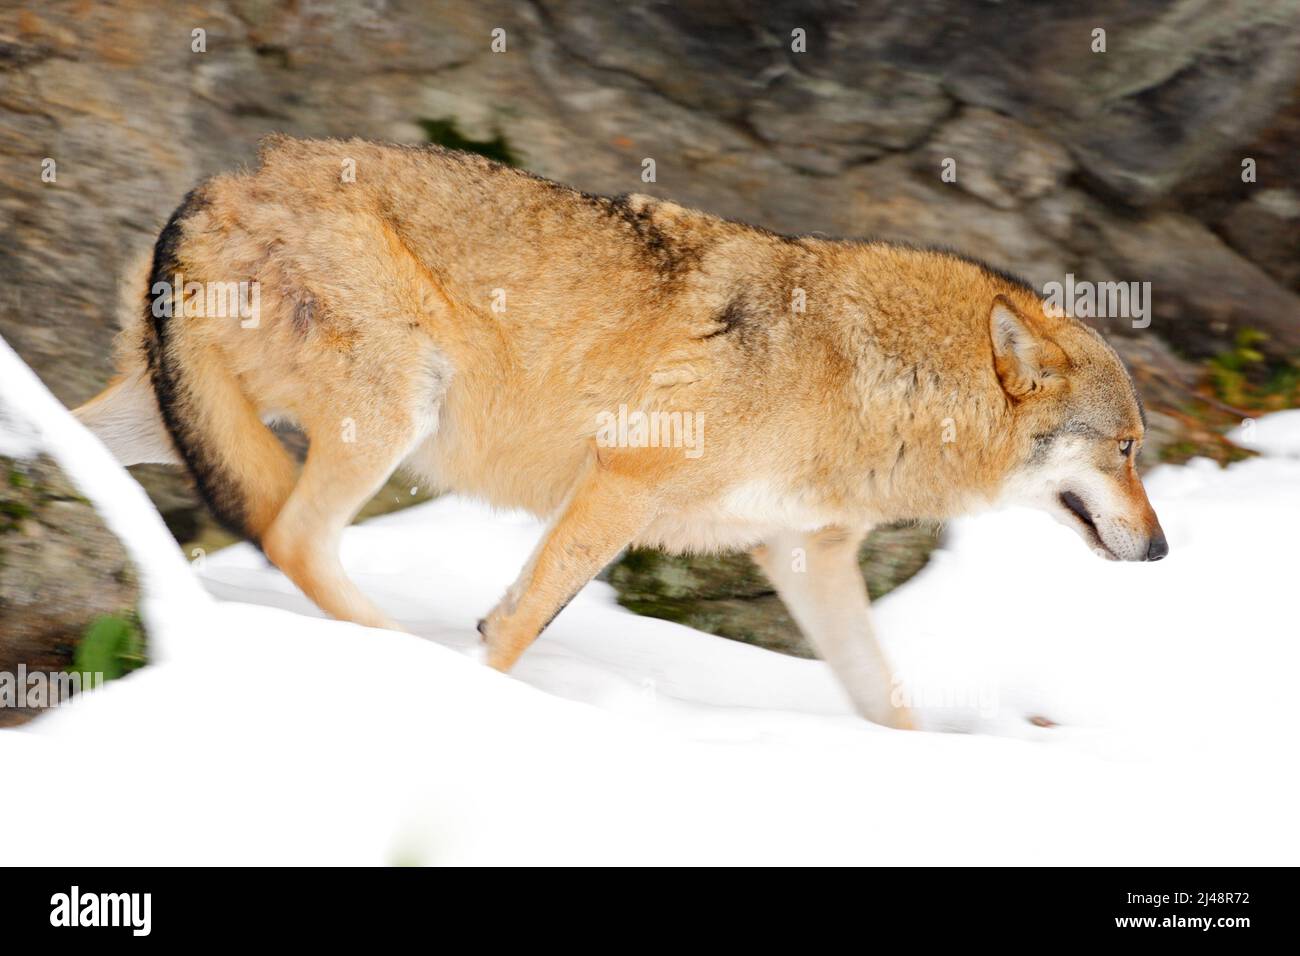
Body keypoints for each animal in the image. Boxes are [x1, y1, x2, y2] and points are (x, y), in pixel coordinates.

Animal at [74, 135, 1167, 729]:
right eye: (1125, 450)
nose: (1160, 548)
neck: (868, 376)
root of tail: (220, 182)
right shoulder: (622, 482)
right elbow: (518, 624)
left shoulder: (803, 557)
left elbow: (886, 701)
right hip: (391, 411)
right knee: (295, 539)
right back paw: (395, 652)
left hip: (175, 416)